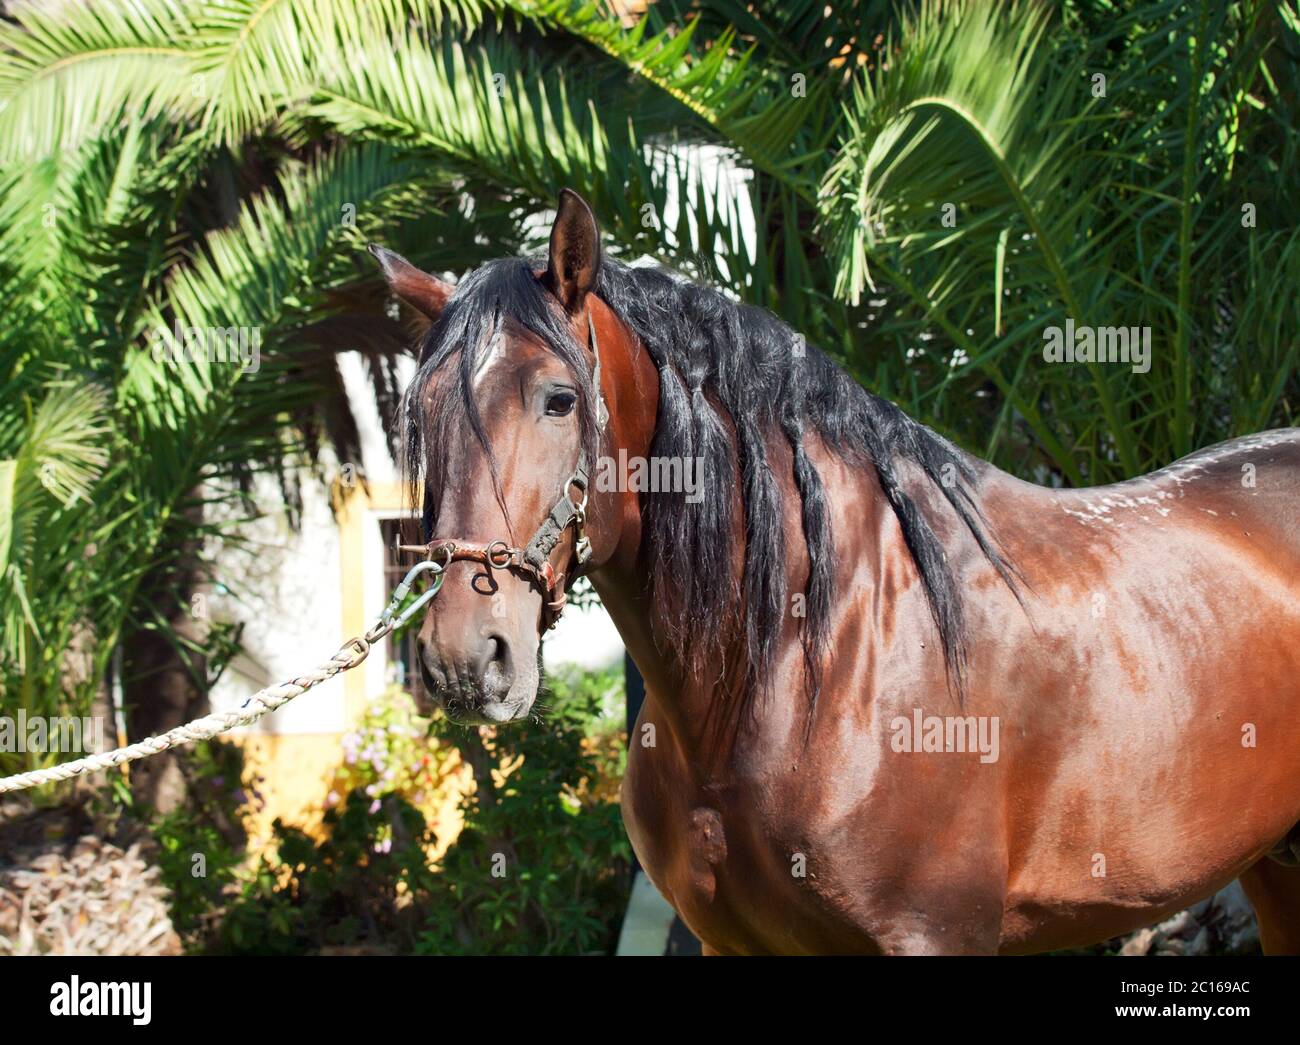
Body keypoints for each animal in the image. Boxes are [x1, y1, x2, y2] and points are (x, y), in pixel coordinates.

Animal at [371, 189, 1300, 955]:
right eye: (420, 412)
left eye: (559, 398)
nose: (464, 657)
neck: (809, 662)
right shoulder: (730, 944)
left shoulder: (934, 940)